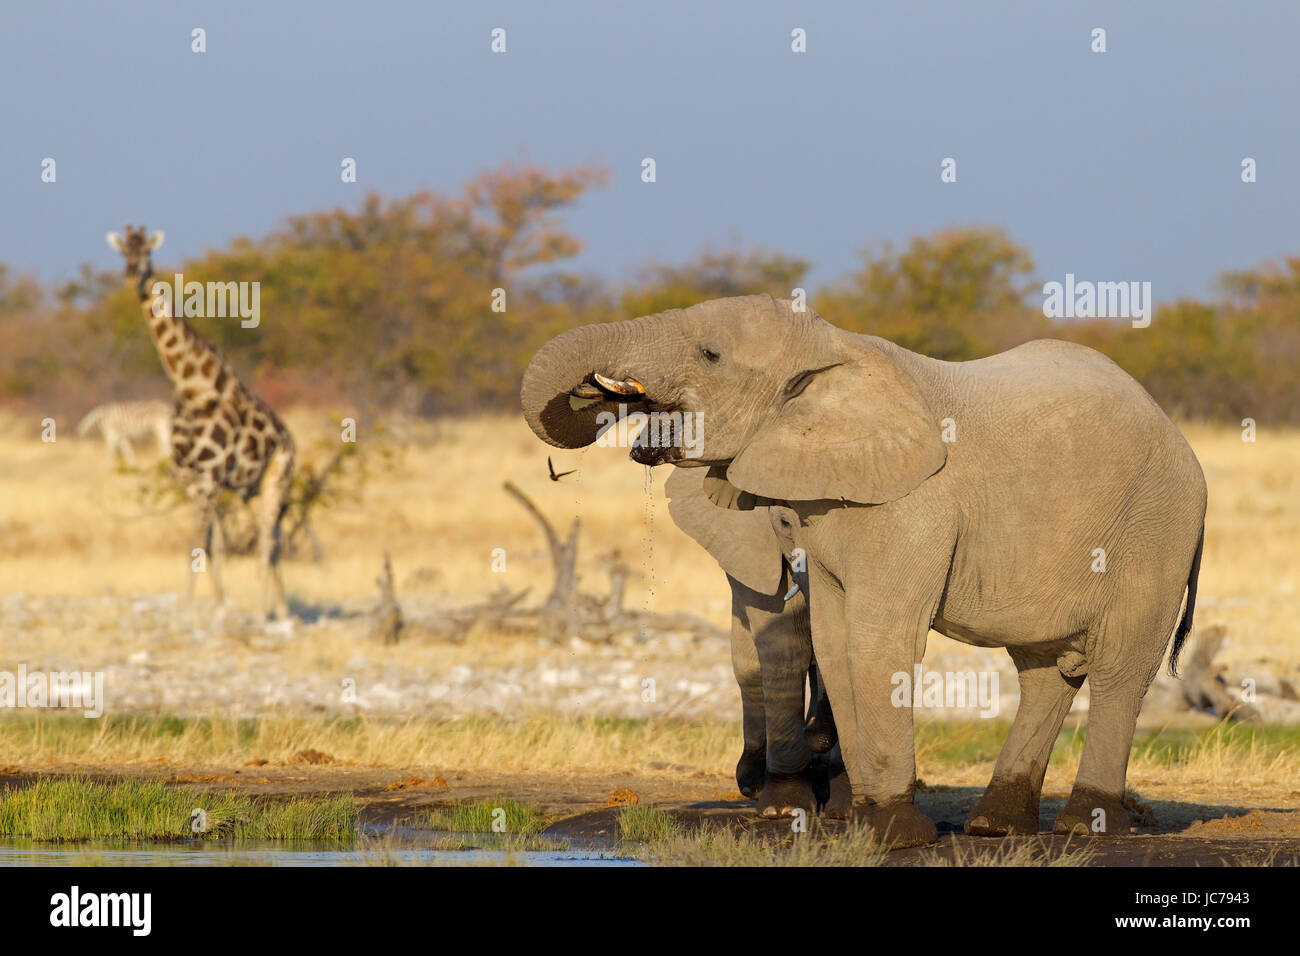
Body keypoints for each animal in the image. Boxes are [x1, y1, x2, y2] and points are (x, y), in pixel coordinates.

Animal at [521, 294, 1206, 847]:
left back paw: (1086, 825)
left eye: (710, 354)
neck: (832, 347)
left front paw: (896, 835)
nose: (601, 393)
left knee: (1120, 666)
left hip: (1156, 530)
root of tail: (1180, 439)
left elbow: (877, 642)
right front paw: (869, 826)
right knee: (1042, 670)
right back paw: (996, 826)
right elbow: (831, 641)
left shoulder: (913, 506)